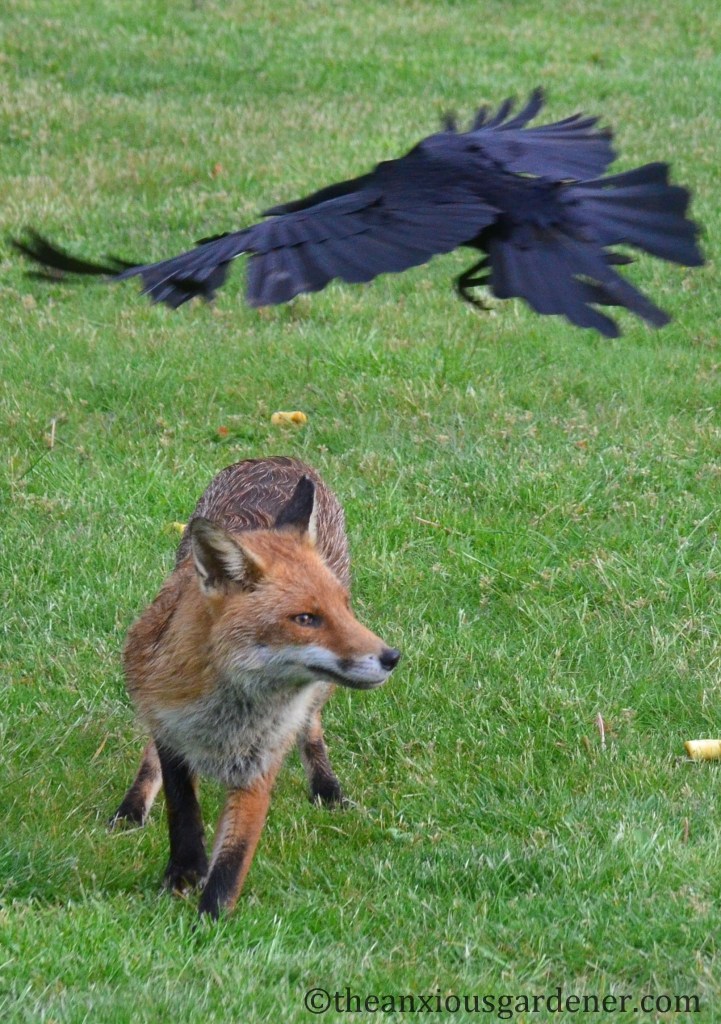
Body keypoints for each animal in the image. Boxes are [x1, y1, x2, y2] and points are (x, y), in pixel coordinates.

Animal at [111, 456, 401, 918]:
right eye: (305, 619)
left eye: (343, 608)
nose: (392, 657)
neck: (227, 714)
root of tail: (279, 458)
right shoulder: (171, 730)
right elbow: (182, 809)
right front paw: (184, 873)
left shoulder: (260, 760)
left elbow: (234, 856)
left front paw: (209, 920)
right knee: (149, 757)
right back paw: (132, 807)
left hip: (319, 696)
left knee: (312, 729)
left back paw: (326, 788)